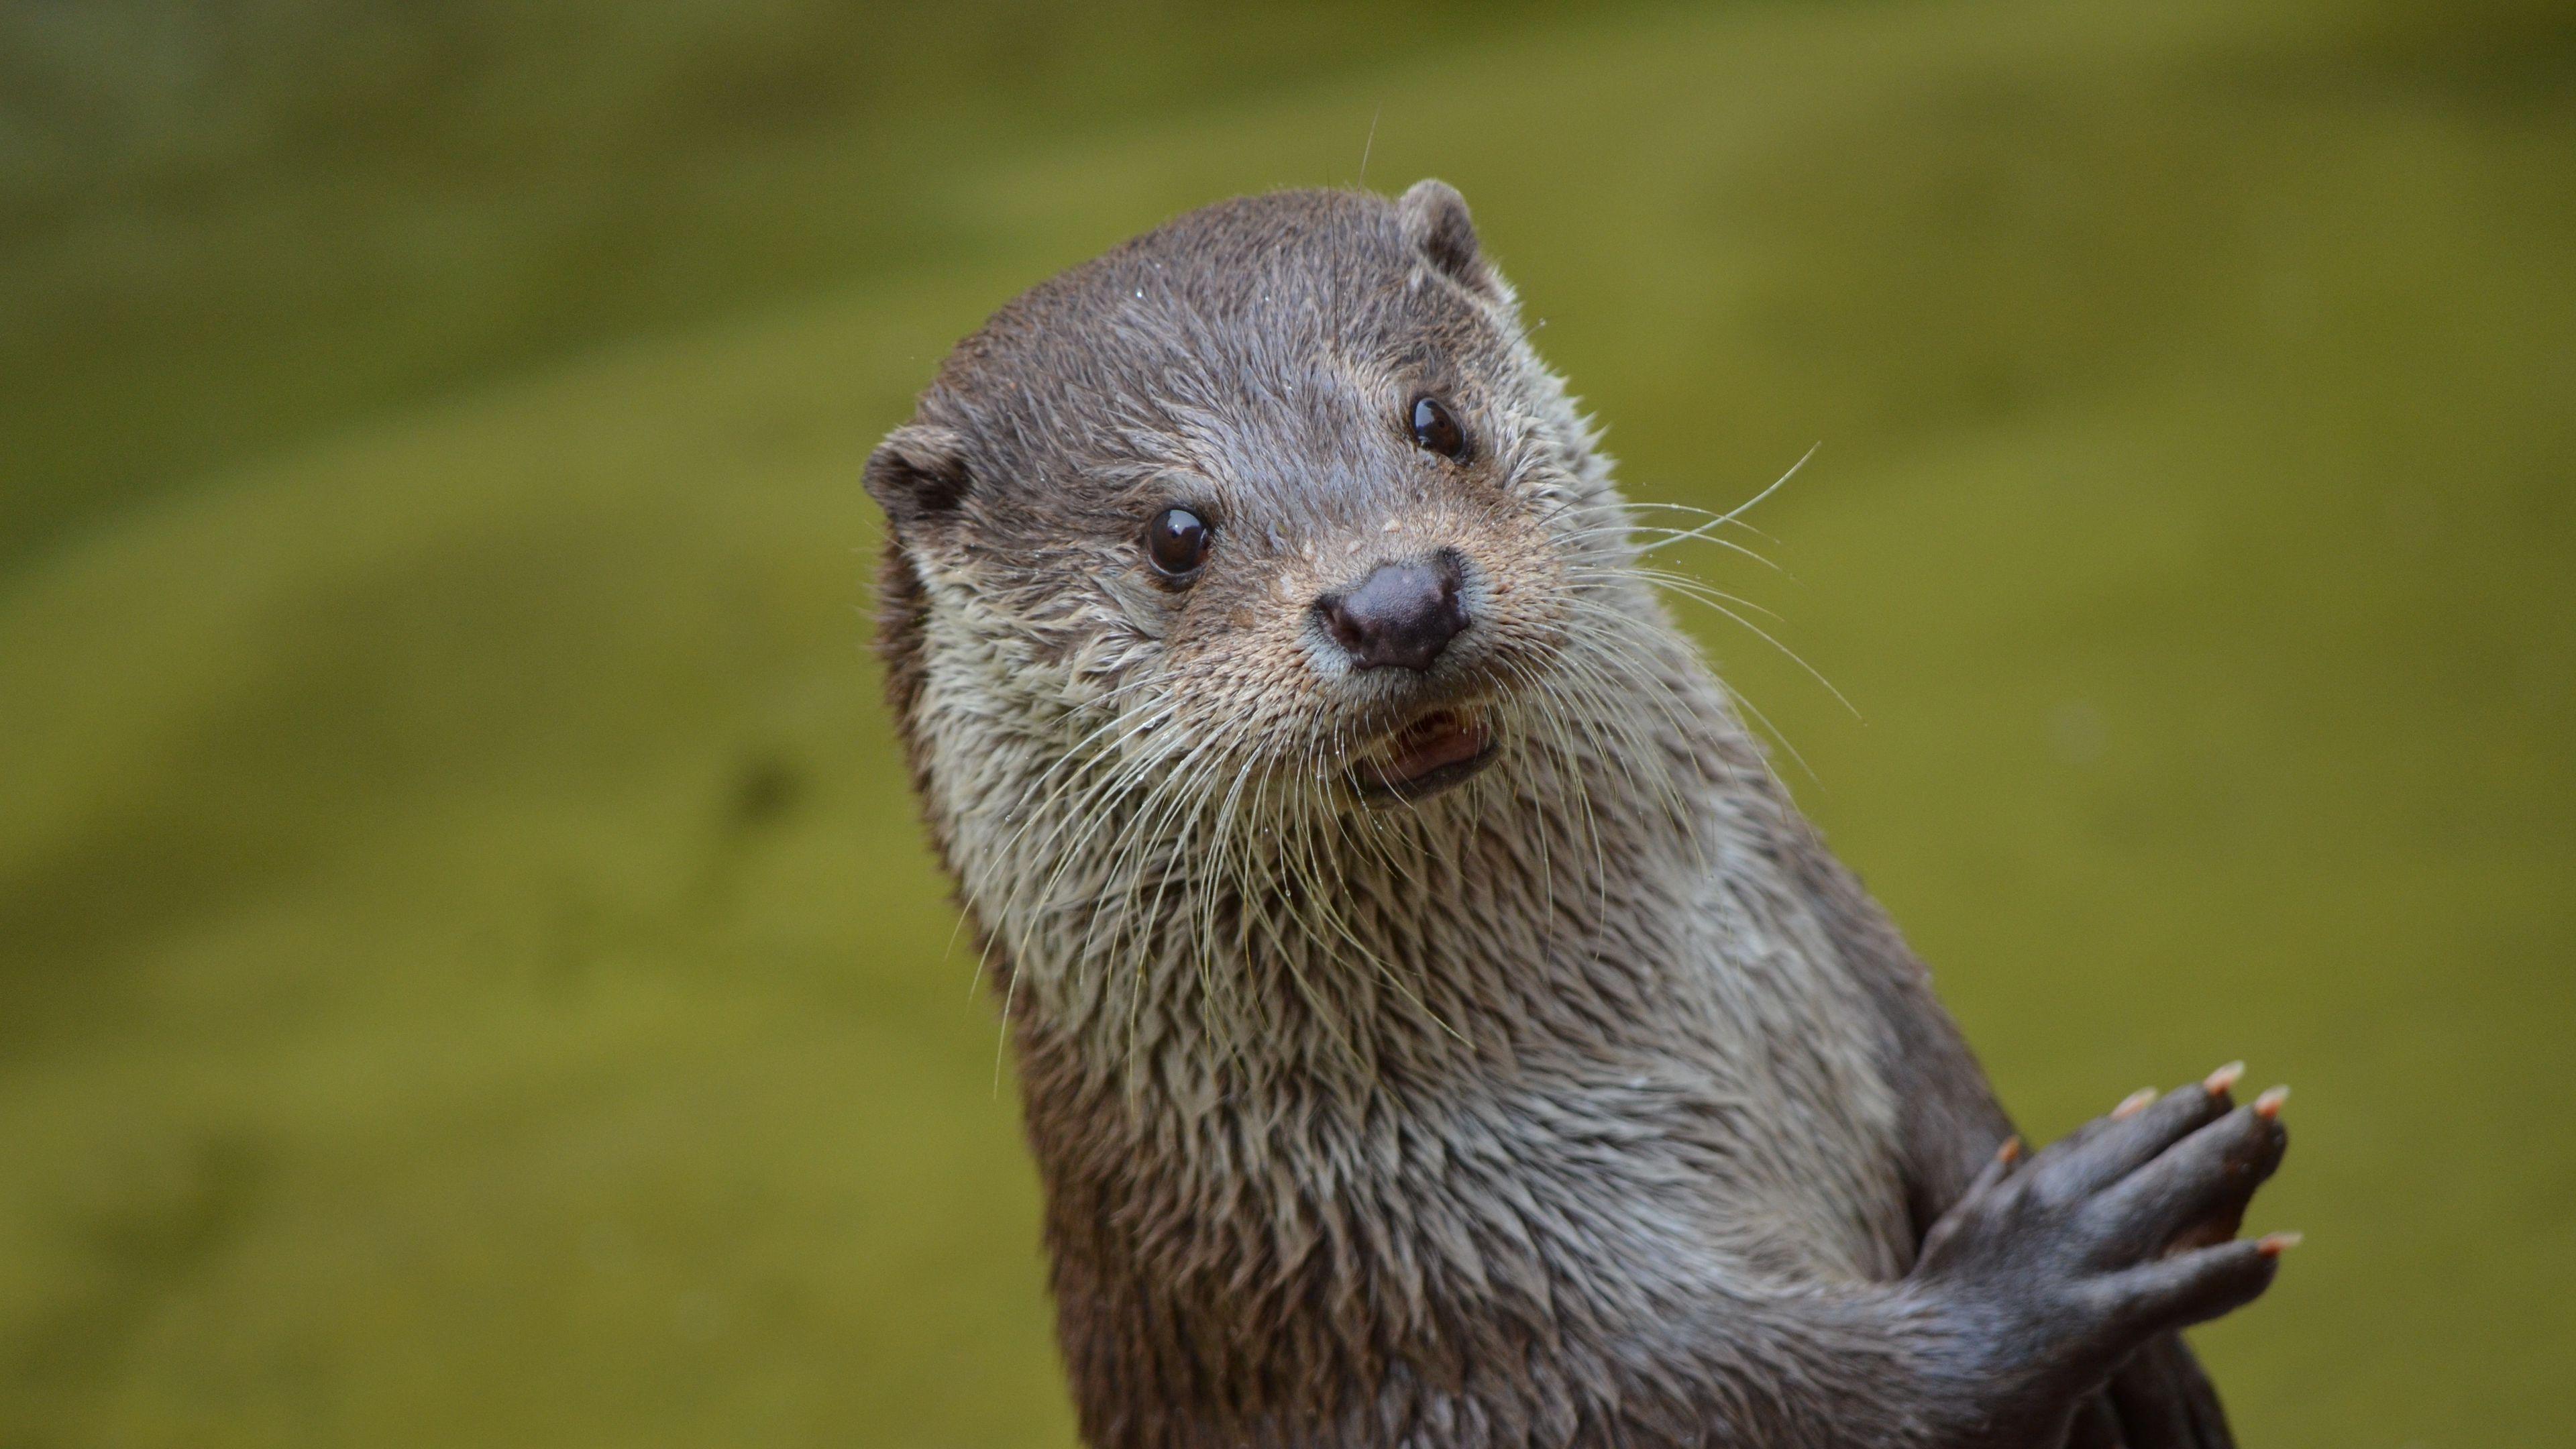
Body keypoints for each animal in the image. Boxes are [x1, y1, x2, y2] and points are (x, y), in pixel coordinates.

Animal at [864, 182, 2291, 1448]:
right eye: (1174, 532)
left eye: (1434, 420)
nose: (1395, 598)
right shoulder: (1421, 1324)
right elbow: (1763, 1398)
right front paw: (2059, 1264)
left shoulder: (1843, 945)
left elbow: (1940, 1066)